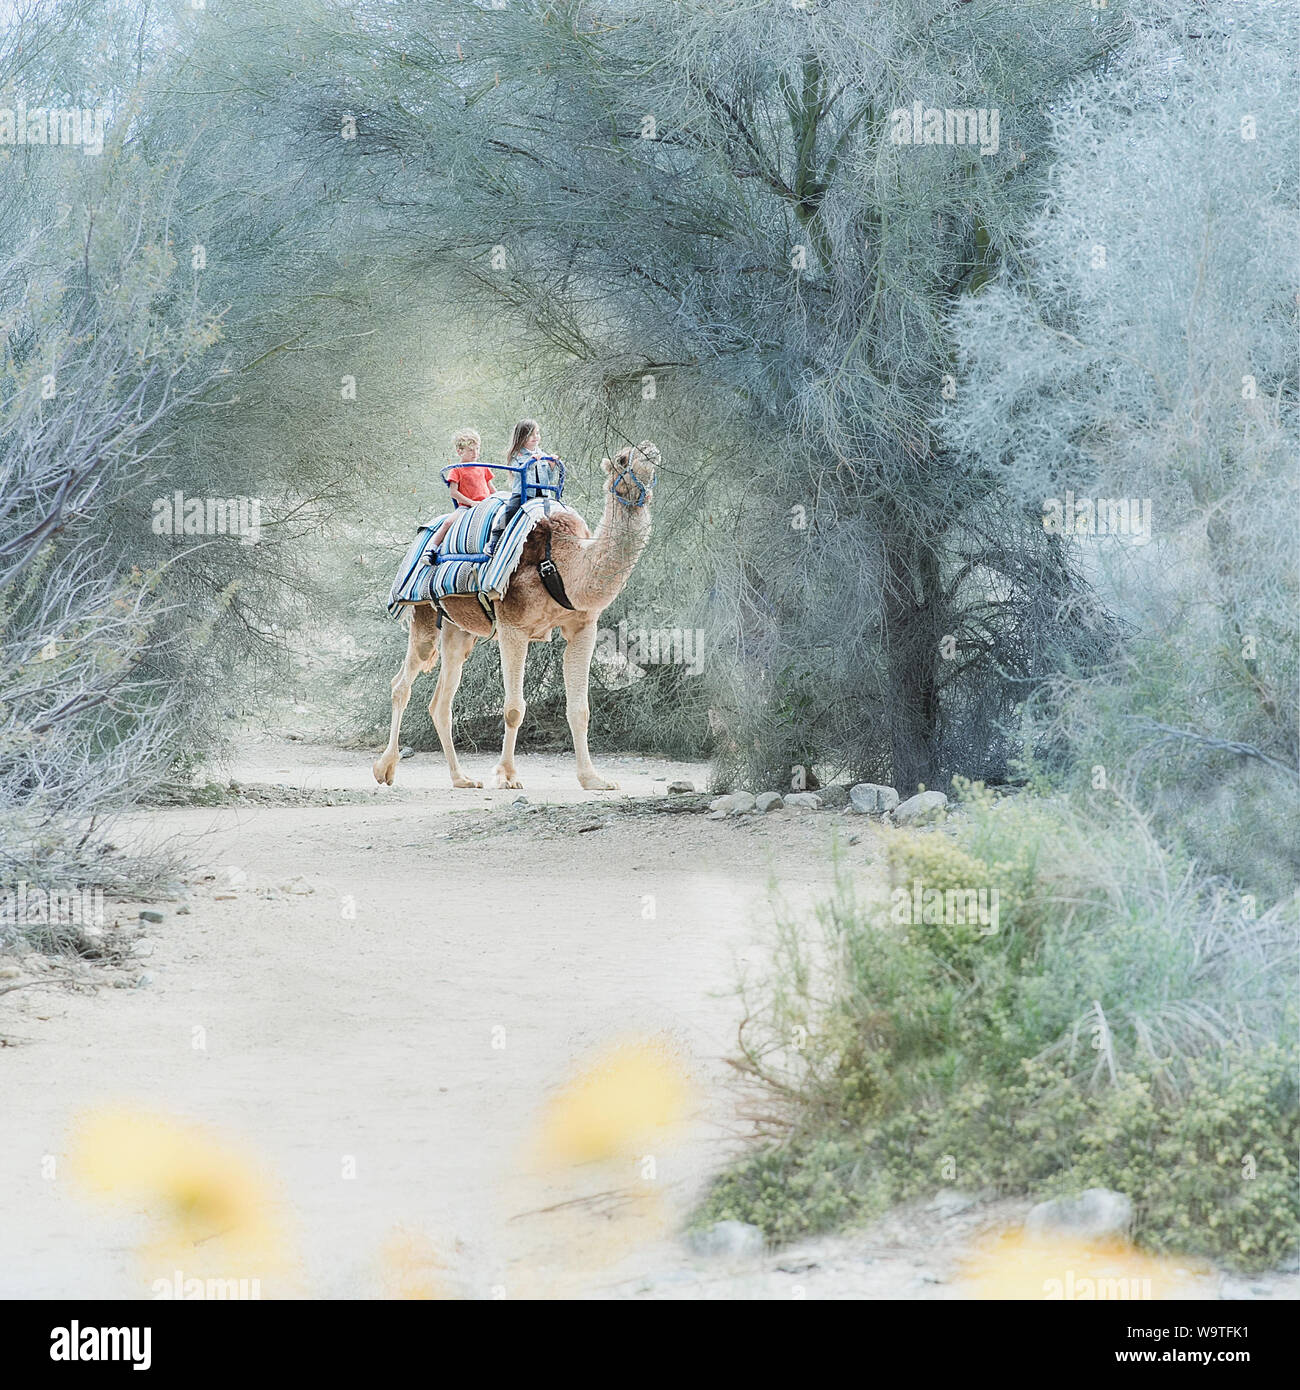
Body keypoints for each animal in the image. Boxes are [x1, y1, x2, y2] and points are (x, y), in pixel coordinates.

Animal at [372, 442, 659, 792]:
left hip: (458, 630)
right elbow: (513, 708)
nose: (650, 448)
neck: (563, 562)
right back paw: (384, 769)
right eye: (622, 458)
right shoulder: (513, 626)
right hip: (424, 612)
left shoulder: (583, 627)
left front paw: (594, 779)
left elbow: (580, 708)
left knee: (441, 701)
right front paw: (507, 775)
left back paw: (462, 778)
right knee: (402, 684)